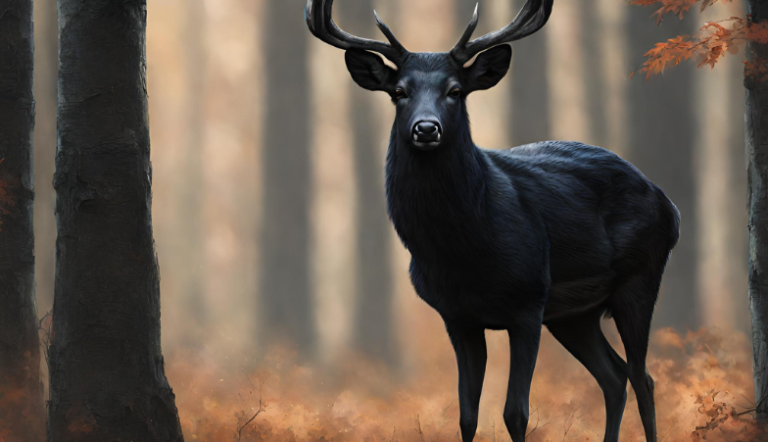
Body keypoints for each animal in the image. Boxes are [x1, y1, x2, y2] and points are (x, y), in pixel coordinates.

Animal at [305, 1, 679, 441]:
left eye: (455, 91)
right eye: (399, 92)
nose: (426, 128)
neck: (462, 249)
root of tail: (670, 206)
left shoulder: (528, 304)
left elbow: (516, 412)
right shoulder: (457, 317)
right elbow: (467, 415)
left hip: (640, 278)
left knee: (642, 378)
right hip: (575, 314)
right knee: (614, 377)